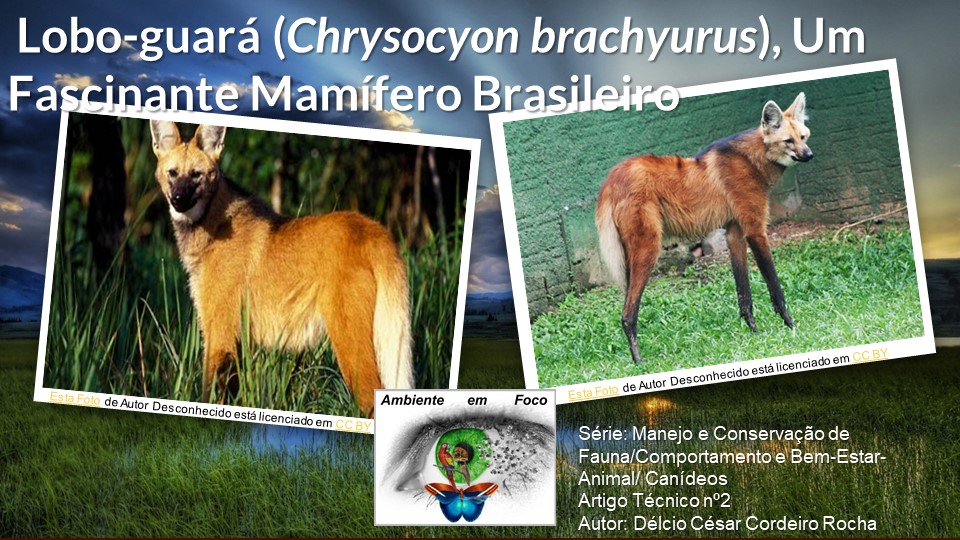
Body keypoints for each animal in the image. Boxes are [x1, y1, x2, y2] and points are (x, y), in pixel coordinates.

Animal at [150, 120, 413, 415]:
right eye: (173, 173)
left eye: (195, 175)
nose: (178, 199)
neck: (213, 224)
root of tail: (373, 230)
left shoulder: (220, 332)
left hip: (350, 344)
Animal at [595, 93, 813, 364]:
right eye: (788, 140)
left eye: (803, 137)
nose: (809, 154)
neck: (754, 159)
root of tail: (610, 180)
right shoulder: (755, 230)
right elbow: (775, 287)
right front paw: (791, 325)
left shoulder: (734, 232)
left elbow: (744, 293)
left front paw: (754, 331)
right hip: (648, 249)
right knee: (627, 313)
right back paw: (639, 361)